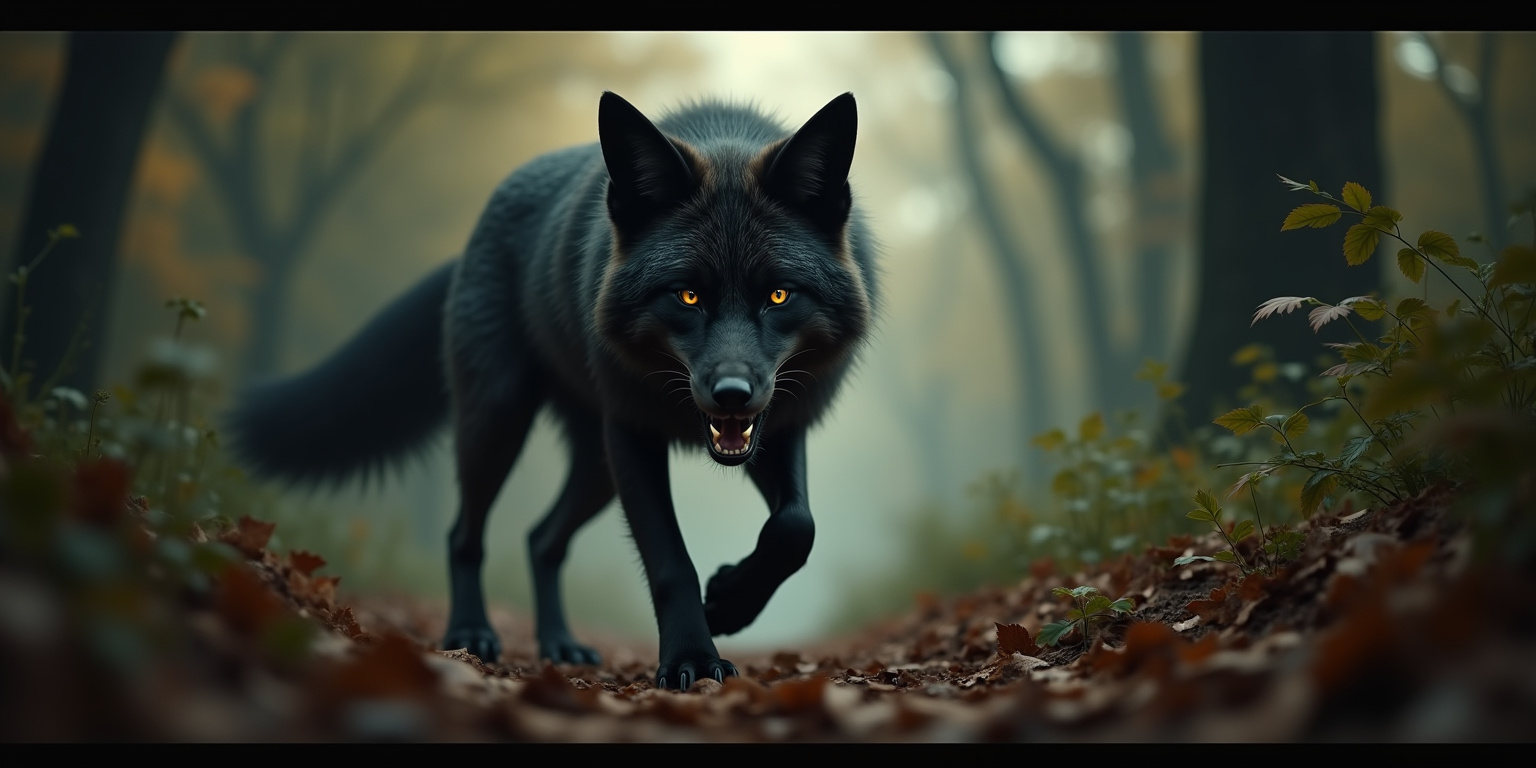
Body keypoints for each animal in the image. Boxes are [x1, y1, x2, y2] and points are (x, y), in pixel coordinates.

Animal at [227, 91, 876, 690]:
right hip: (499, 424)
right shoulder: (634, 435)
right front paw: (693, 658)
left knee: (541, 539)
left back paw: (560, 644)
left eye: (779, 296)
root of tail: (470, 242)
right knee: (464, 534)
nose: (732, 394)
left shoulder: (781, 426)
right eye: (688, 296)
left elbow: (796, 527)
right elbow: (671, 563)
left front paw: (730, 603)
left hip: (594, 469)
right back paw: (470, 633)